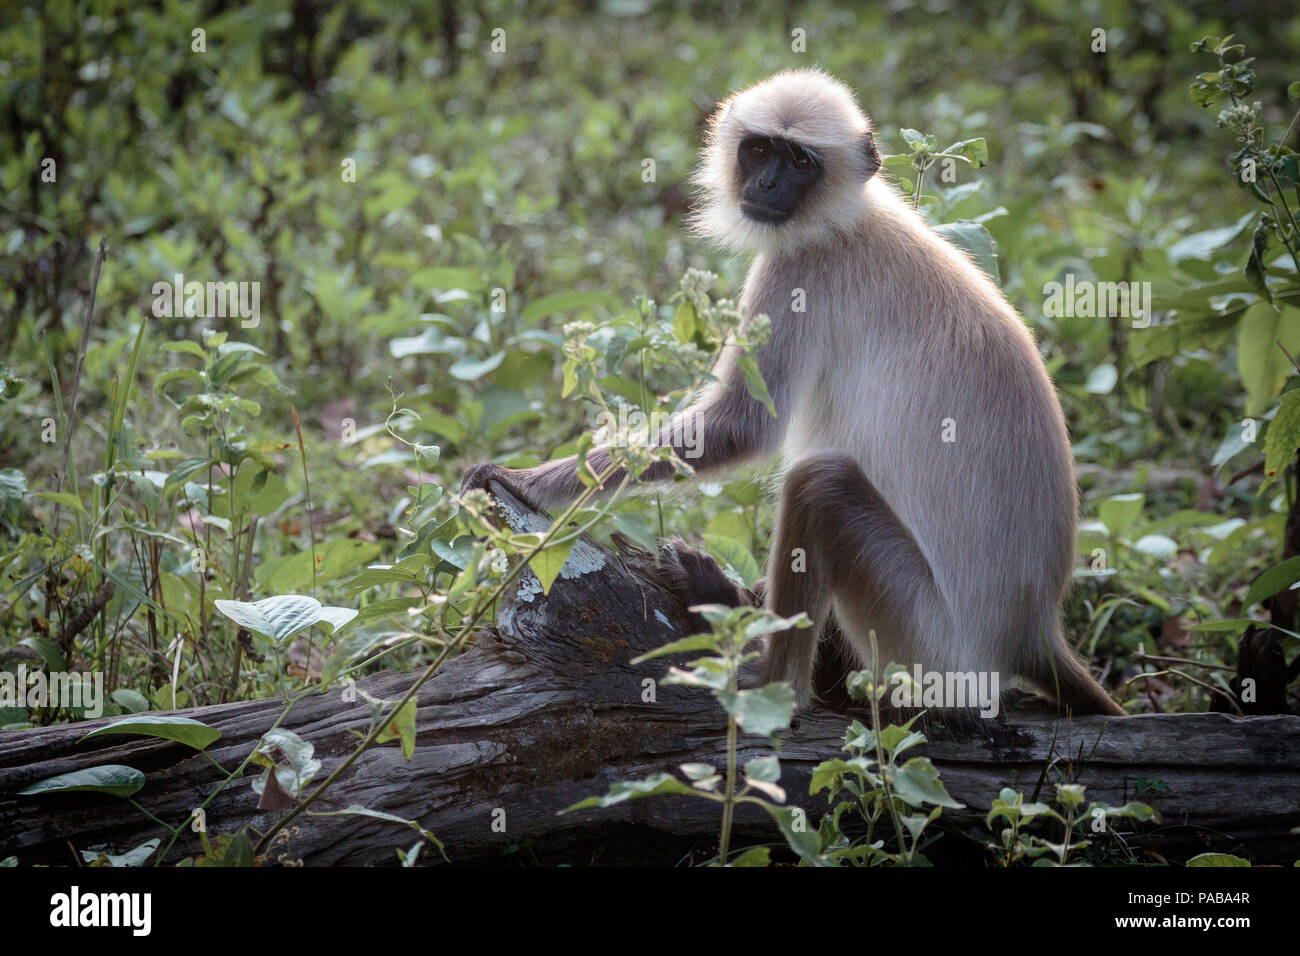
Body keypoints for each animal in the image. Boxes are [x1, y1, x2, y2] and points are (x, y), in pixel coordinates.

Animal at [463, 68, 1125, 719]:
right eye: (760, 150)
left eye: (801, 161)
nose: (769, 182)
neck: (844, 217)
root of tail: (1032, 633)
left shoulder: (800, 268)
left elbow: (738, 426)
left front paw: (523, 480)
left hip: (929, 639)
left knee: (821, 484)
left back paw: (764, 672)